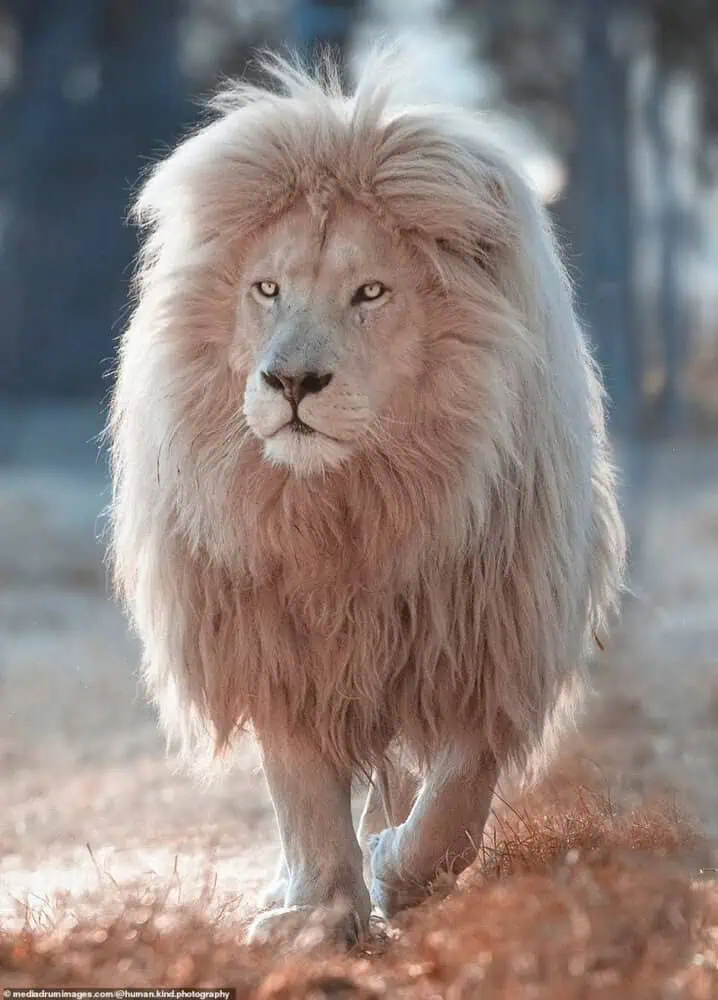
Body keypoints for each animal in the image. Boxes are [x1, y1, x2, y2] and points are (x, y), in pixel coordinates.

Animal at [107, 49, 625, 946]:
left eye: (372, 293)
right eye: (267, 289)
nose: (290, 382)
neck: (351, 506)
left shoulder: (488, 641)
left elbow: (453, 804)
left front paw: (398, 872)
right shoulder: (279, 645)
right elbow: (305, 793)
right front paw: (320, 916)